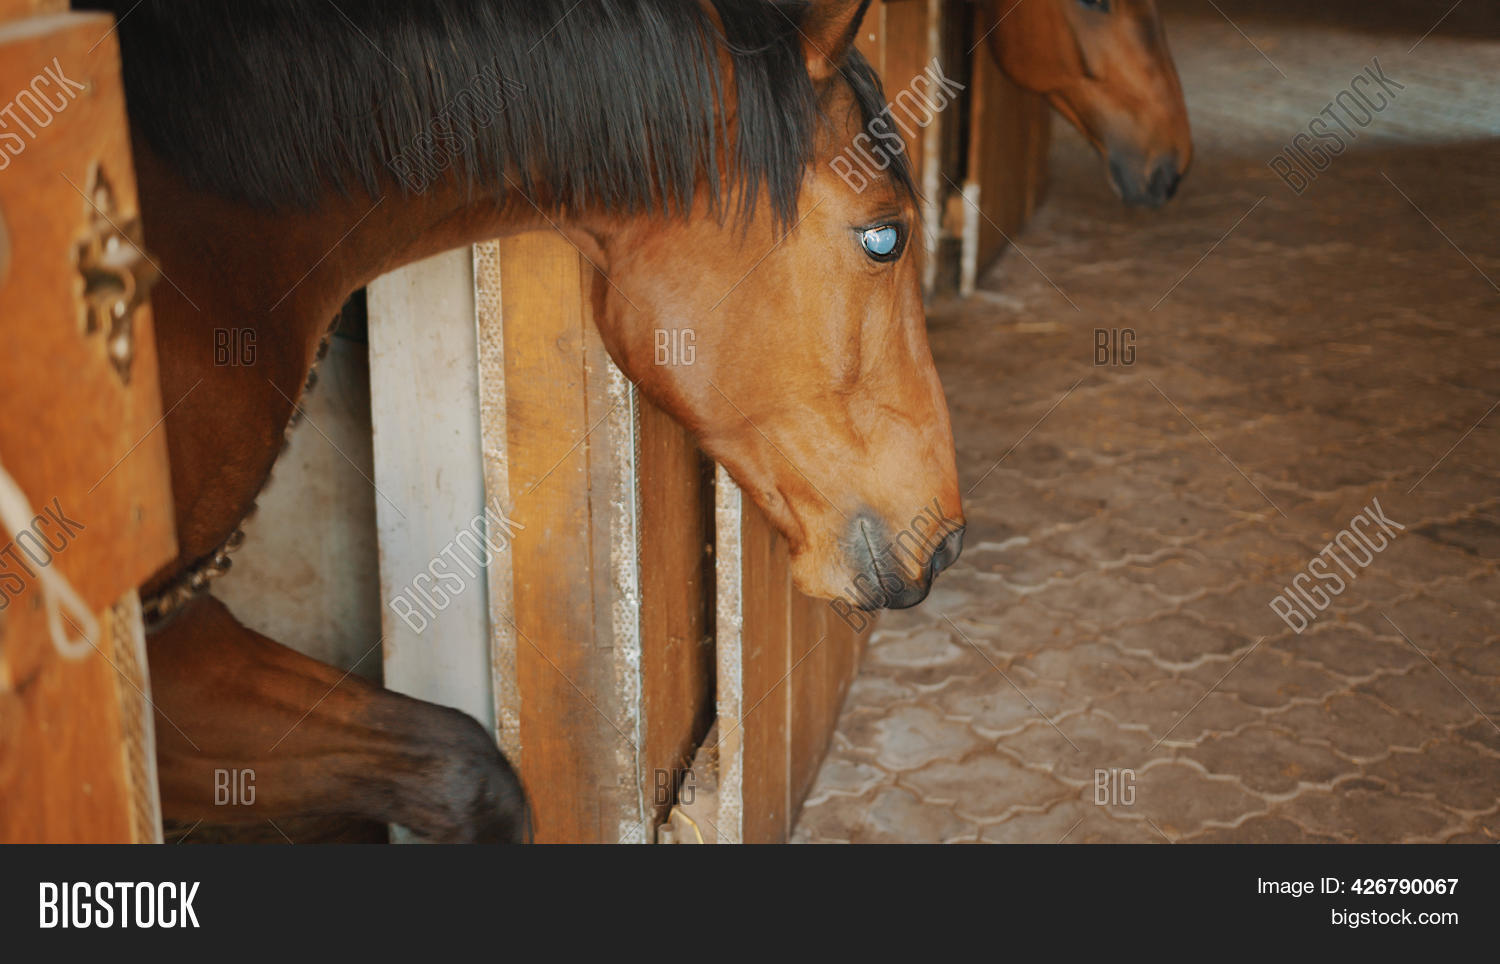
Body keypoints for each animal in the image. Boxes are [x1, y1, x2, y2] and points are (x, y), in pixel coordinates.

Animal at [82, 0, 965, 842]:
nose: (948, 541)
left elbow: (464, 770)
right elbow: (468, 771)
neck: (210, 240)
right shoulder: (148, 653)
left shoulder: (180, 629)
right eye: (884, 237)